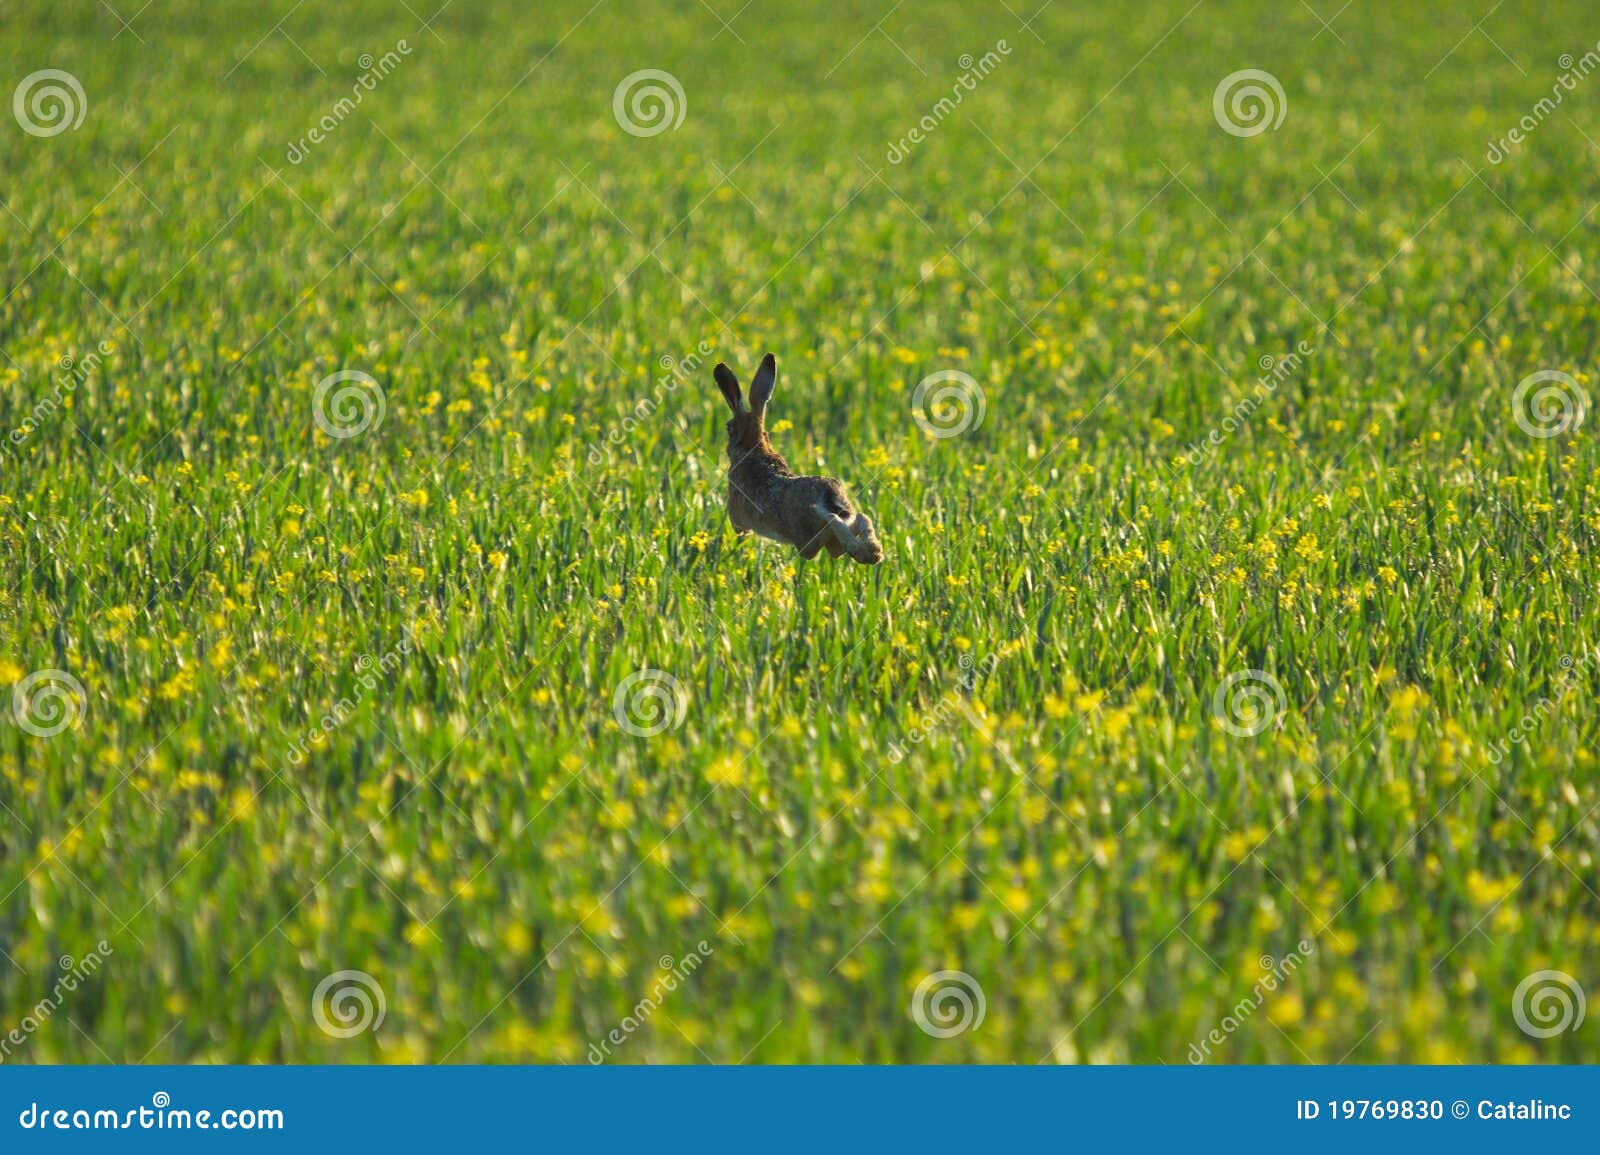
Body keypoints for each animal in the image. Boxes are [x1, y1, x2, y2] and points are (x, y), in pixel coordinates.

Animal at [713, 353, 883, 565]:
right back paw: (873, 550)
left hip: (807, 539)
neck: (754, 446)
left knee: (830, 524)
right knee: (861, 519)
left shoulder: (736, 514)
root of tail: (828, 496)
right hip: (837, 531)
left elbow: (738, 526)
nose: (727, 446)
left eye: (728, 427)